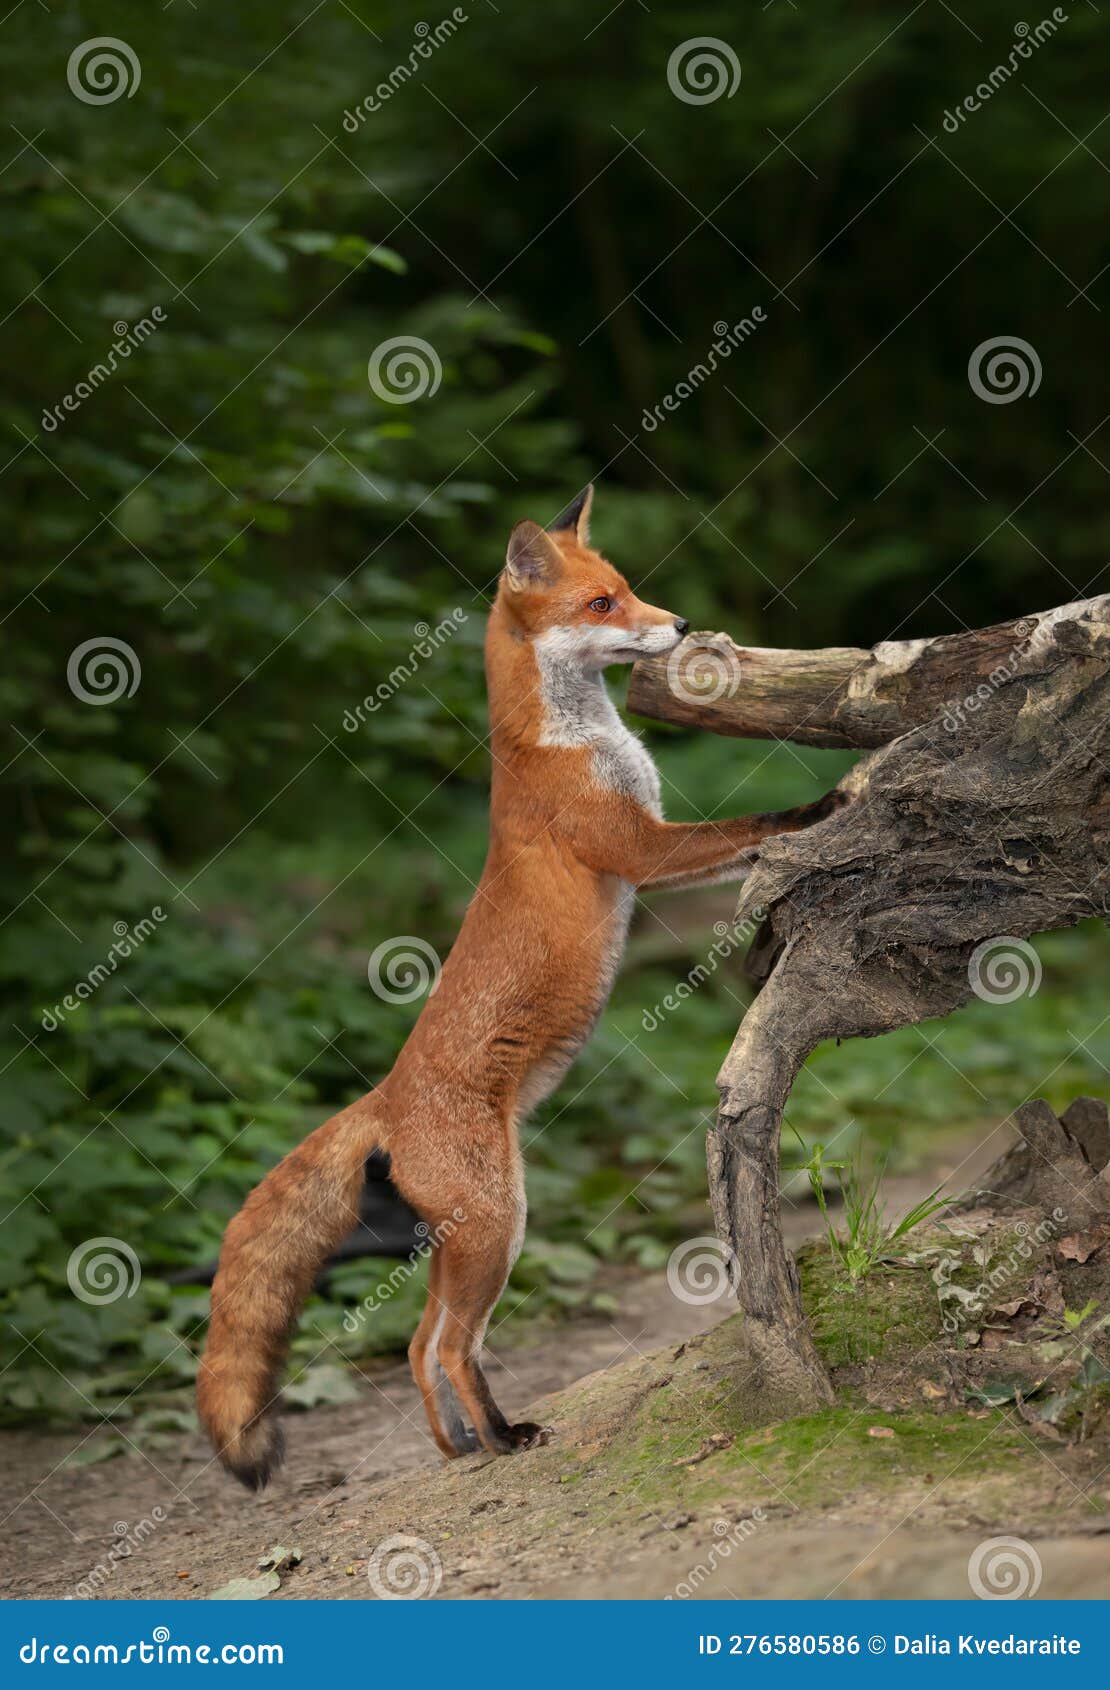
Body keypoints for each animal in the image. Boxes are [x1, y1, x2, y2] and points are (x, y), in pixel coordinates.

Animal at [197, 484, 837, 1486]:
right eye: (603, 604)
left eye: (628, 588)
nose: (680, 625)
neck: (575, 739)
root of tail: (386, 1097)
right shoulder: (638, 849)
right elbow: (754, 823)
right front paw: (825, 802)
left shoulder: (653, 853)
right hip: (500, 1224)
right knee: (452, 1344)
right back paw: (501, 1437)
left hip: (464, 1239)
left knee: (418, 1344)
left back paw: (458, 1445)